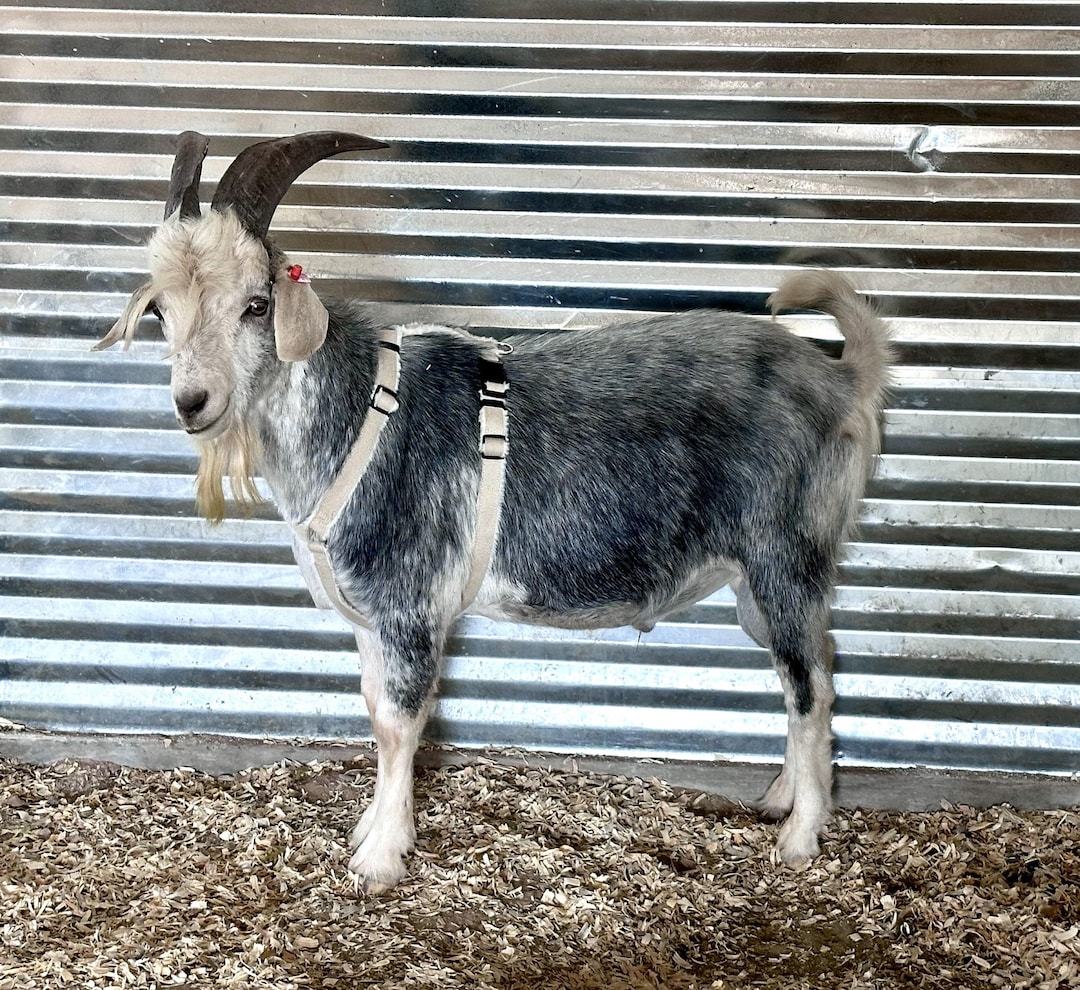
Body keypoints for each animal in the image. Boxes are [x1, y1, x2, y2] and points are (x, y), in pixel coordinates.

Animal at [98, 131, 894, 893]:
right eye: (162, 310)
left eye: (256, 305)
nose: (192, 403)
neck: (359, 413)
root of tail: (840, 380)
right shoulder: (369, 617)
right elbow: (372, 711)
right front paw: (367, 831)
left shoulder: (412, 604)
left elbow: (399, 724)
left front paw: (380, 859)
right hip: (759, 582)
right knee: (805, 674)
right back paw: (781, 798)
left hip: (784, 554)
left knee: (812, 685)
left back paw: (800, 839)